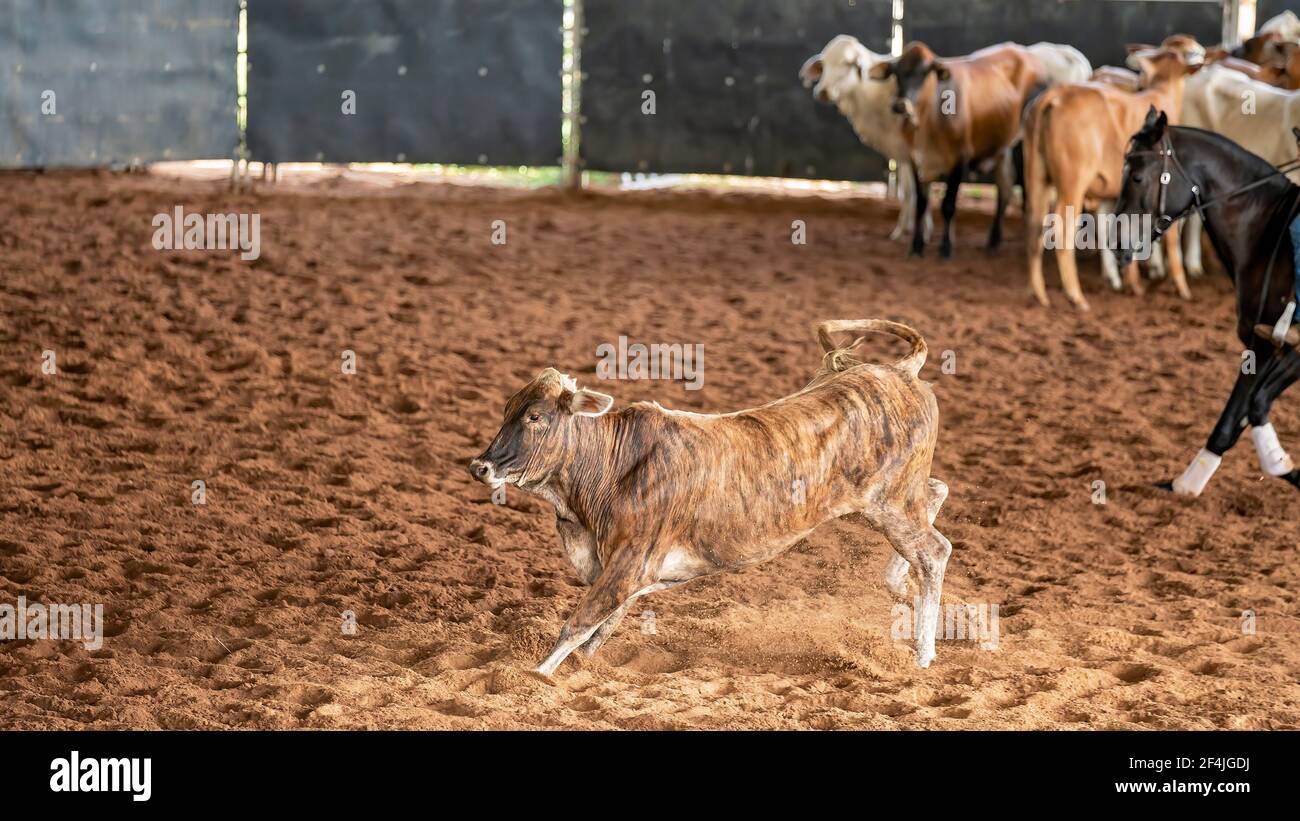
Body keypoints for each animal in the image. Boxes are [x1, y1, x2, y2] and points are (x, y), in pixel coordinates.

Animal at [468, 320, 953, 676]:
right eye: (507, 408)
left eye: (535, 416)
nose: (480, 467)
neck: (610, 467)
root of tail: (899, 371)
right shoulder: (627, 570)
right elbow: (603, 625)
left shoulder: (631, 562)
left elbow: (581, 622)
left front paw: (535, 675)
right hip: (892, 499)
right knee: (937, 494)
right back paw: (897, 583)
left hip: (892, 502)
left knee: (934, 550)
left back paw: (923, 652)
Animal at [801, 35, 931, 242]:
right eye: (824, 64)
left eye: (847, 63)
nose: (821, 92)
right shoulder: (902, 151)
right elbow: (909, 191)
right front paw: (902, 230)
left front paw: (923, 233)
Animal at [869, 41, 1049, 257]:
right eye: (896, 73)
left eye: (924, 72)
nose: (900, 106)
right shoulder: (915, 160)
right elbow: (921, 204)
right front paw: (917, 246)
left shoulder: (960, 159)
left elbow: (948, 205)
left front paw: (946, 247)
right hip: (1001, 148)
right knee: (1005, 187)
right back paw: (993, 240)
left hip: (1025, 145)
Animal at [1023, 49, 1200, 309]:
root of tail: (1055, 95)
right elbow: (1170, 242)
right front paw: (1182, 288)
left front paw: (1128, 283)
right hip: (1073, 182)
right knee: (1062, 231)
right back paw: (1076, 296)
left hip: (1037, 175)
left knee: (1035, 225)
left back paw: (1039, 294)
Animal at [1115, 107, 1300, 495]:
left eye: (1137, 176)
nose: (1117, 242)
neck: (1268, 230)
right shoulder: (1264, 342)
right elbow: (1243, 413)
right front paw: (1186, 483)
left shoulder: (1279, 345)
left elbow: (1249, 407)